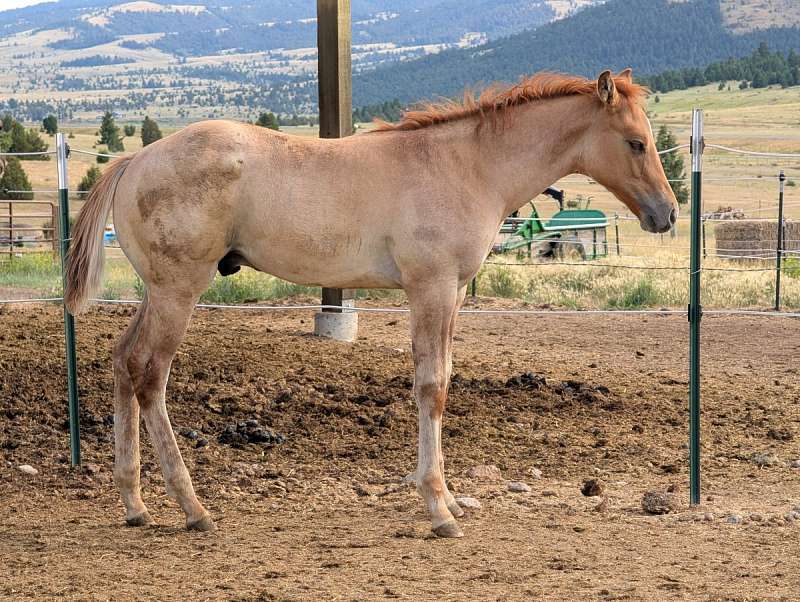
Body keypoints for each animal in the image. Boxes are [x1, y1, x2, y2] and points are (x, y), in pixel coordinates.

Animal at [65, 70, 678, 538]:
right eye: (636, 142)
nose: (667, 213)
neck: (466, 165)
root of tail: (137, 160)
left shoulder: (453, 293)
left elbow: (441, 381)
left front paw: (447, 500)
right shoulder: (431, 289)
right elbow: (431, 388)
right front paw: (438, 509)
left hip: (157, 291)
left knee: (122, 361)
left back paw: (135, 503)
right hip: (179, 290)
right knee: (149, 375)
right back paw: (193, 509)